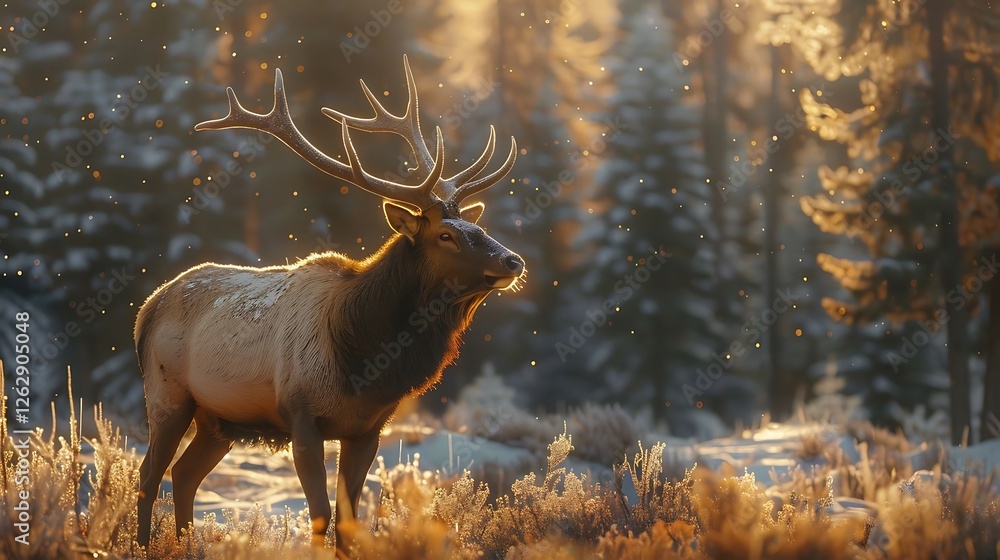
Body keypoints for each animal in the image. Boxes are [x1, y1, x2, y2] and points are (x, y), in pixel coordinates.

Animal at [134, 56, 524, 553]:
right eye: (446, 235)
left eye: (479, 228)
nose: (513, 260)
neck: (363, 359)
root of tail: (147, 308)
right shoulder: (300, 415)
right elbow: (319, 513)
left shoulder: (368, 430)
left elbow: (348, 521)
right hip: (167, 394)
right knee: (148, 474)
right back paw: (142, 544)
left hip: (218, 420)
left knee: (183, 475)